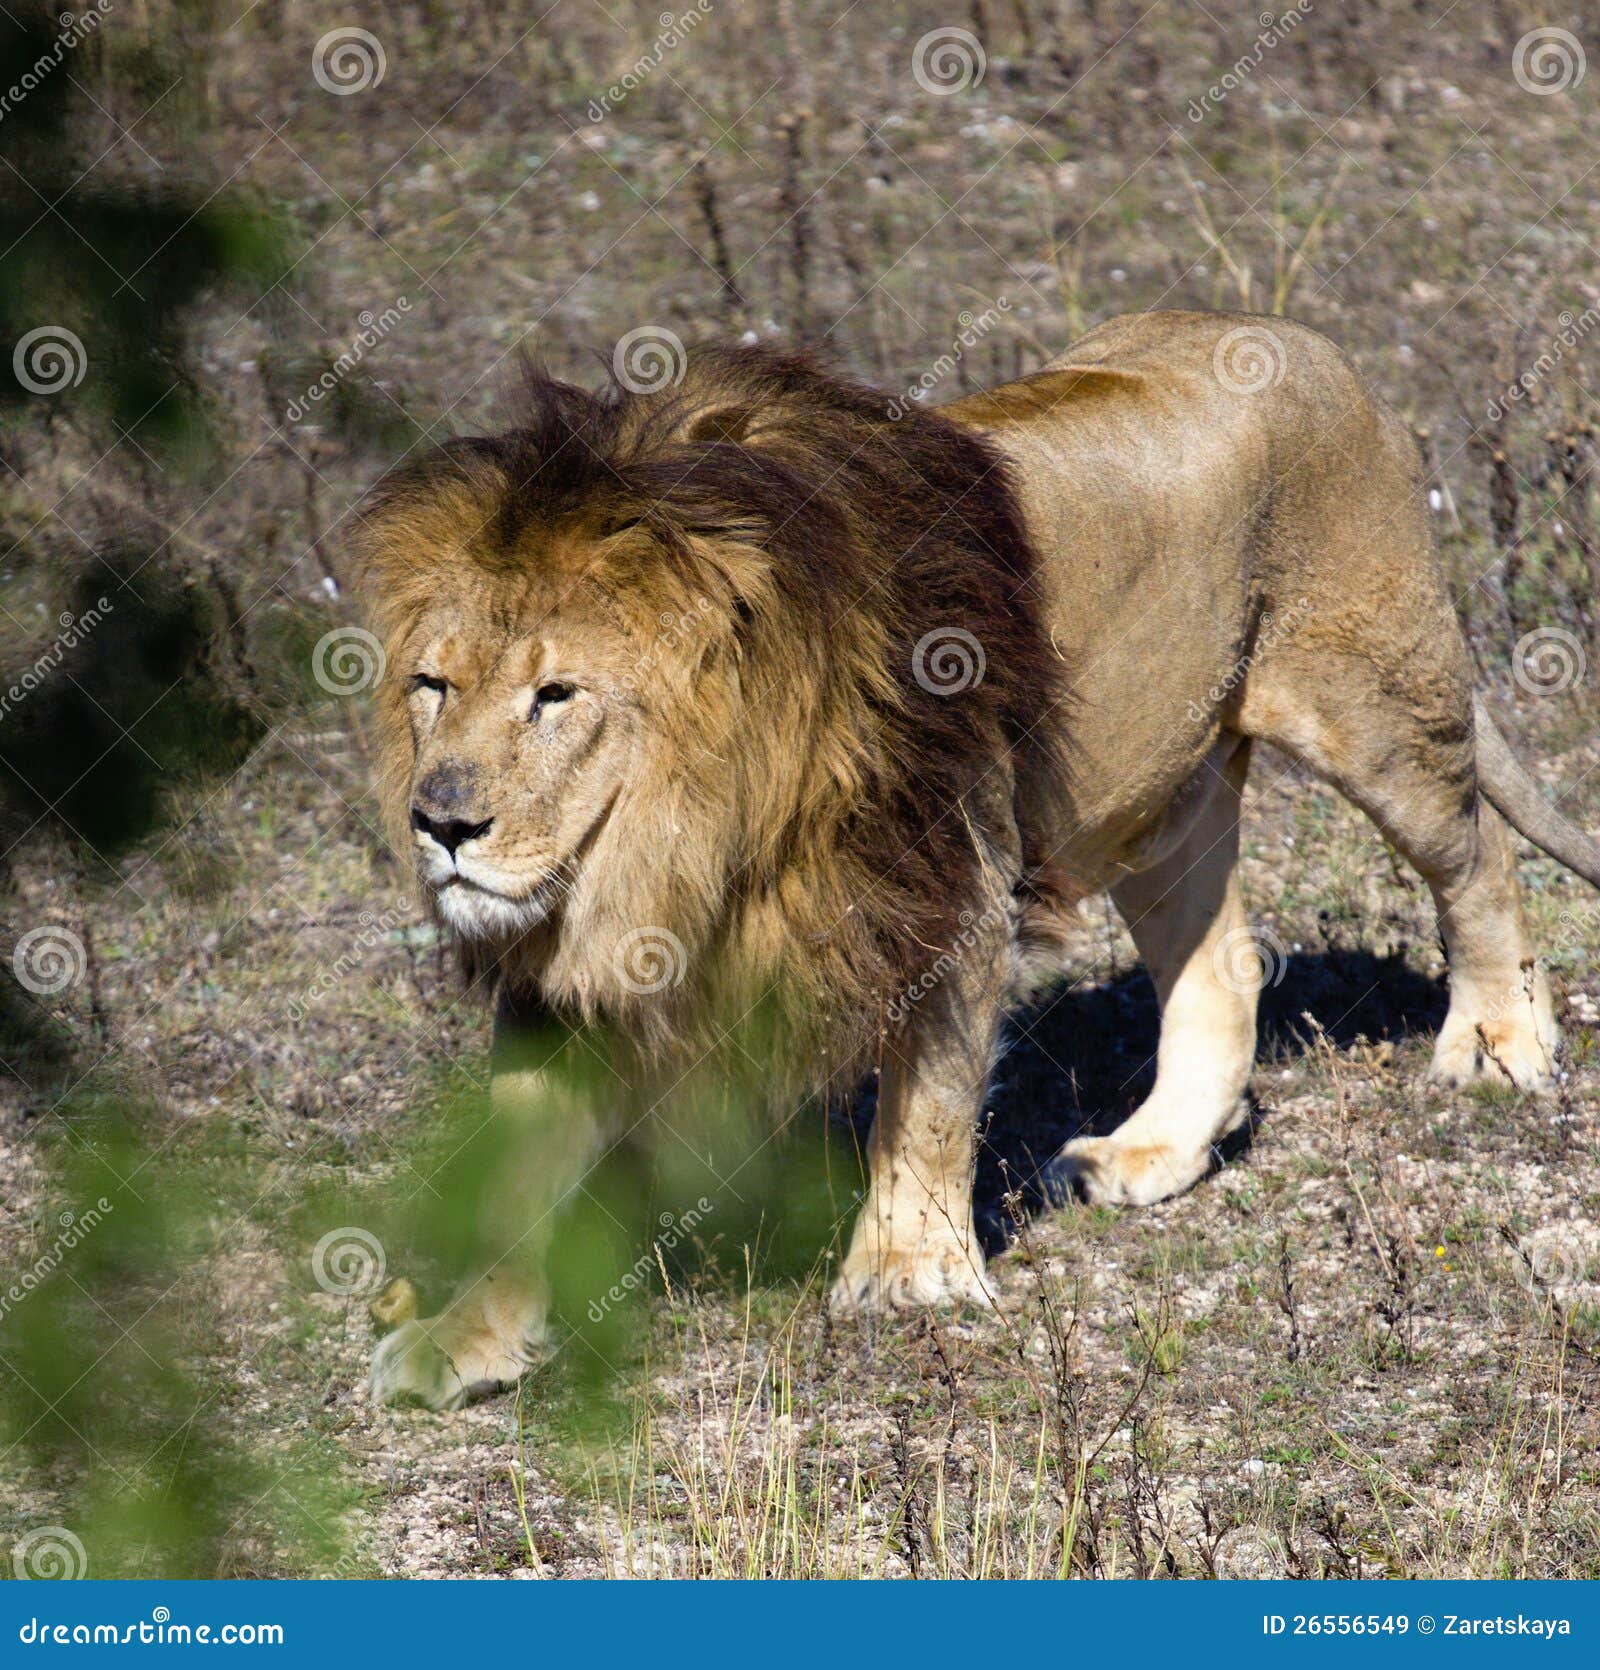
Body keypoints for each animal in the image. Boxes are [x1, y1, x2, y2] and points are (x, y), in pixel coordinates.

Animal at [356, 310, 1600, 1408]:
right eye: (433, 684)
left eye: (555, 693)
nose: (441, 822)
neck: (684, 845)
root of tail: (1308, 343)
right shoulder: (555, 972)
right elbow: (515, 1177)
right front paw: (463, 1338)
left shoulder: (948, 873)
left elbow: (931, 1098)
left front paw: (907, 1273)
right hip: (1159, 797)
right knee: (1224, 961)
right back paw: (1151, 1150)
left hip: (1374, 709)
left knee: (1476, 857)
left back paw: (1497, 1043)